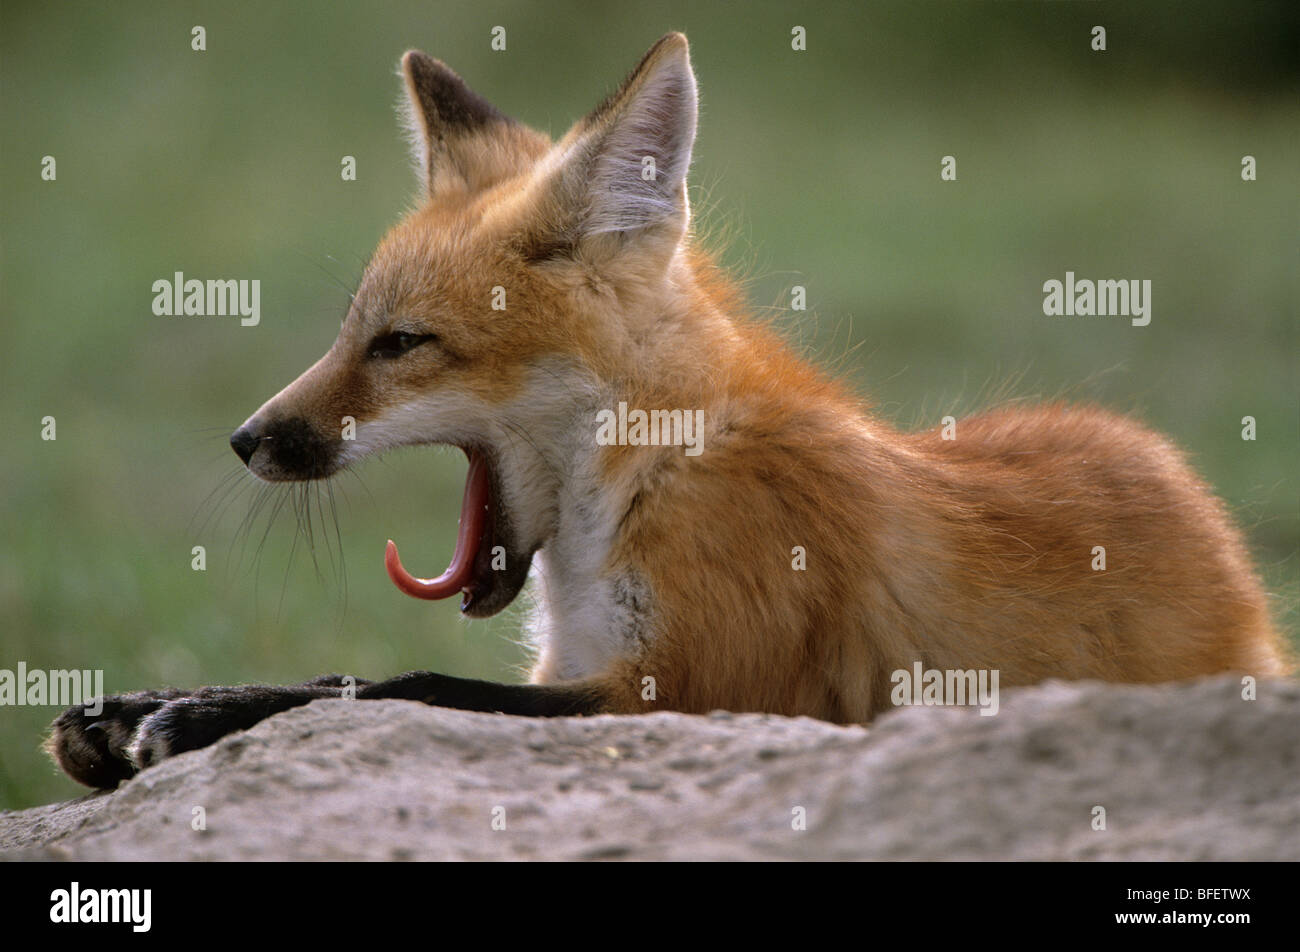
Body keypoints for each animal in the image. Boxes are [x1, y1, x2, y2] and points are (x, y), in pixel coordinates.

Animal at [49, 33, 1289, 789]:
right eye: (348, 333)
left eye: (398, 344)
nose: (247, 440)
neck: (653, 474)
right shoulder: (582, 671)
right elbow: (345, 680)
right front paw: (147, 706)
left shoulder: (702, 691)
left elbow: (408, 685)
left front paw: (193, 716)